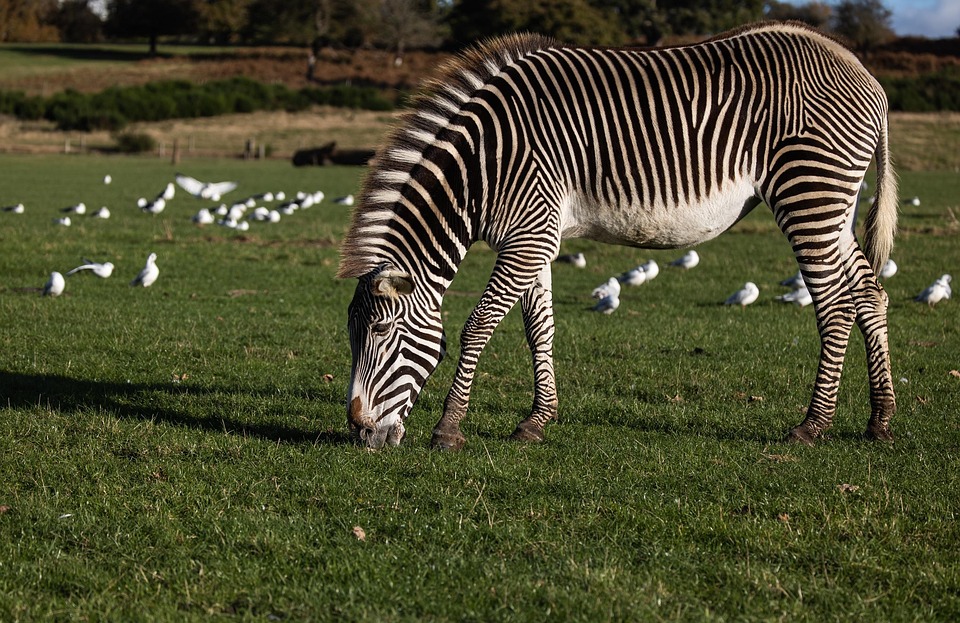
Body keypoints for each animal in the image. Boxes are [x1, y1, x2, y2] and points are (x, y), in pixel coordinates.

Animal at [338, 21, 898, 450]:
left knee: (835, 304)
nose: (360, 433)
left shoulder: (529, 232)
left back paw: (813, 426)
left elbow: (478, 325)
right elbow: (539, 328)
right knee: (868, 291)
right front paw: (537, 421)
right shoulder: (533, 235)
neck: (485, 164)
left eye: (381, 331)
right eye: (350, 332)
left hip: (809, 194)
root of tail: (859, 67)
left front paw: (449, 428)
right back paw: (880, 420)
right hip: (835, 204)